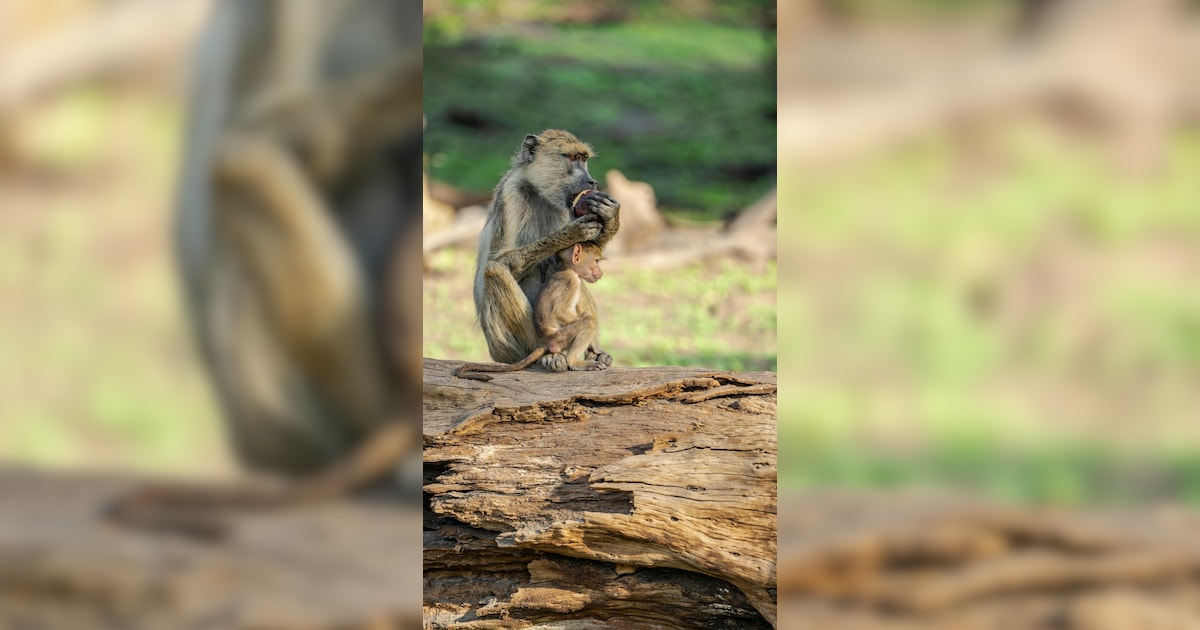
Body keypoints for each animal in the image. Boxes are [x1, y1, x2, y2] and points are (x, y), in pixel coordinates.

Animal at [455, 241, 609, 381]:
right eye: (596, 261)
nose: (600, 272)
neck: (567, 269)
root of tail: (544, 341)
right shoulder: (572, 282)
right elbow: (560, 311)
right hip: (560, 338)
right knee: (588, 322)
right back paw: (574, 361)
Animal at [474, 129, 620, 373]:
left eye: (584, 159)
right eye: (572, 158)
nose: (592, 181)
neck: (539, 192)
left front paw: (610, 216)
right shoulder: (510, 195)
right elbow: (500, 260)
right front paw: (570, 233)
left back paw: (594, 352)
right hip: (505, 348)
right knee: (495, 271)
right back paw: (548, 354)